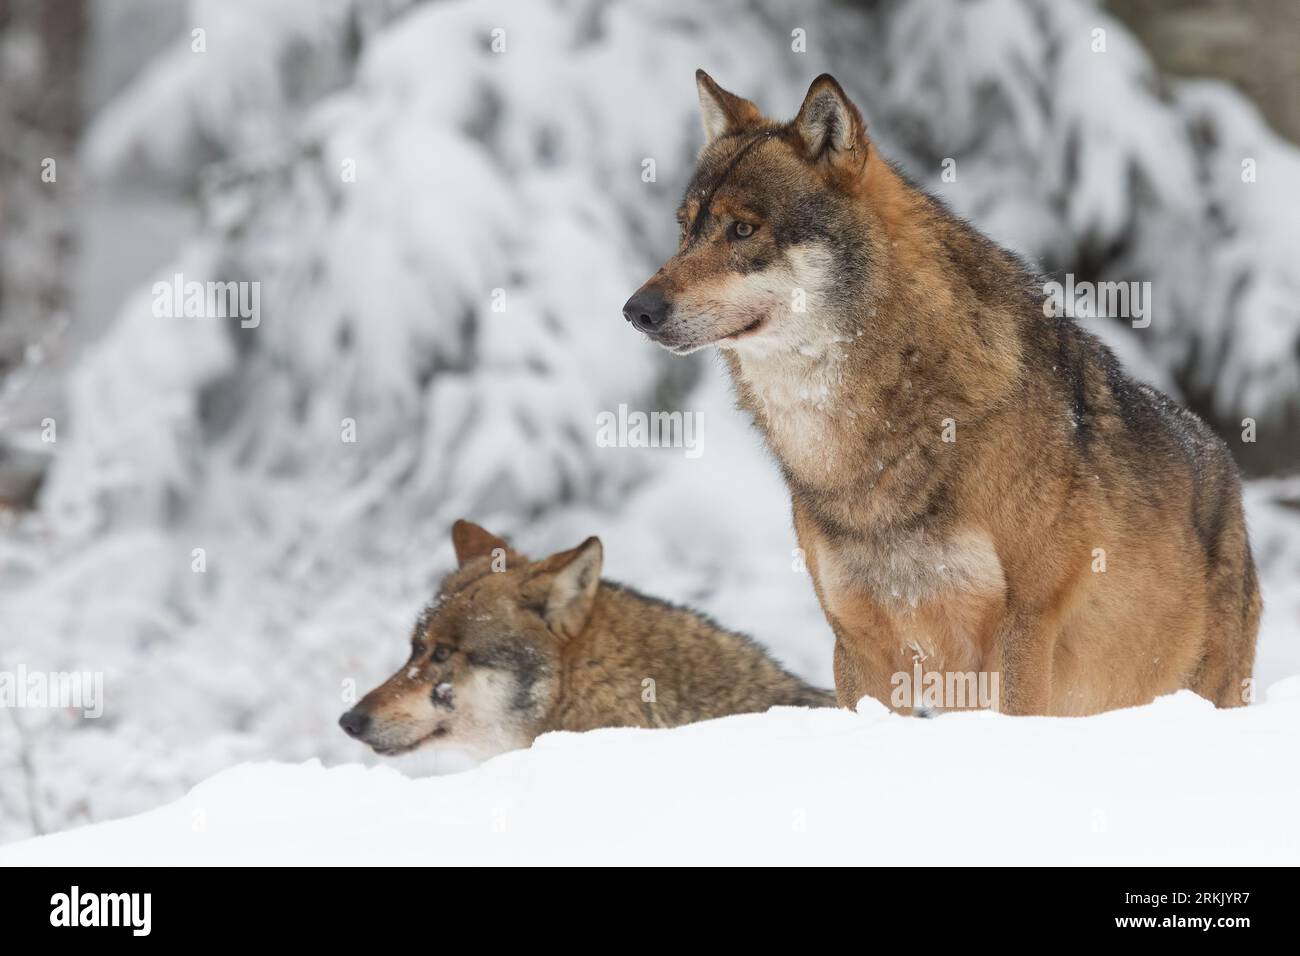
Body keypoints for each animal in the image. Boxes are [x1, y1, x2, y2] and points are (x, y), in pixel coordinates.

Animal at [622, 71, 1260, 715]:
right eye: (685, 229)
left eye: (743, 228)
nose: (637, 311)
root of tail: (1225, 464)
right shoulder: (856, 642)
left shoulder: (1023, 627)